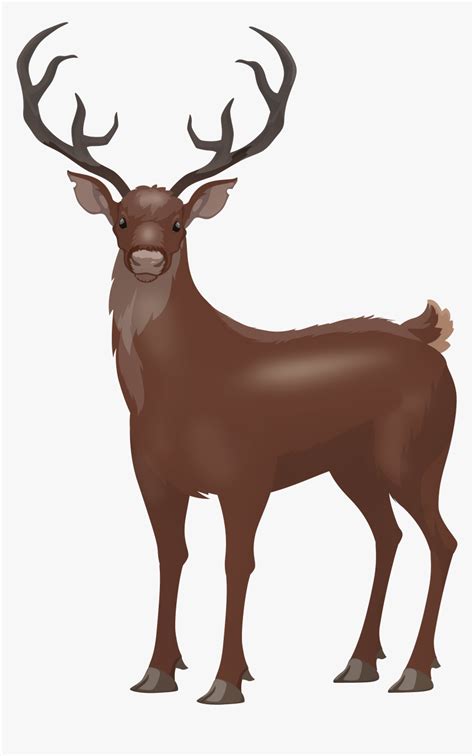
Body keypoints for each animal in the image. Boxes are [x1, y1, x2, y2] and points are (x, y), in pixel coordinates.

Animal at [18, 21, 458, 705]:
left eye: (178, 222)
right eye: (121, 218)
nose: (147, 259)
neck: (181, 390)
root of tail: (431, 337)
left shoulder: (247, 473)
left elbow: (238, 562)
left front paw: (227, 679)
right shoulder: (153, 477)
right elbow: (171, 556)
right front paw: (157, 672)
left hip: (415, 452)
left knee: (442, 538)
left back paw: (416, 670)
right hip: (353, 464)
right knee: (388, 534)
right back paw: (360, 661)